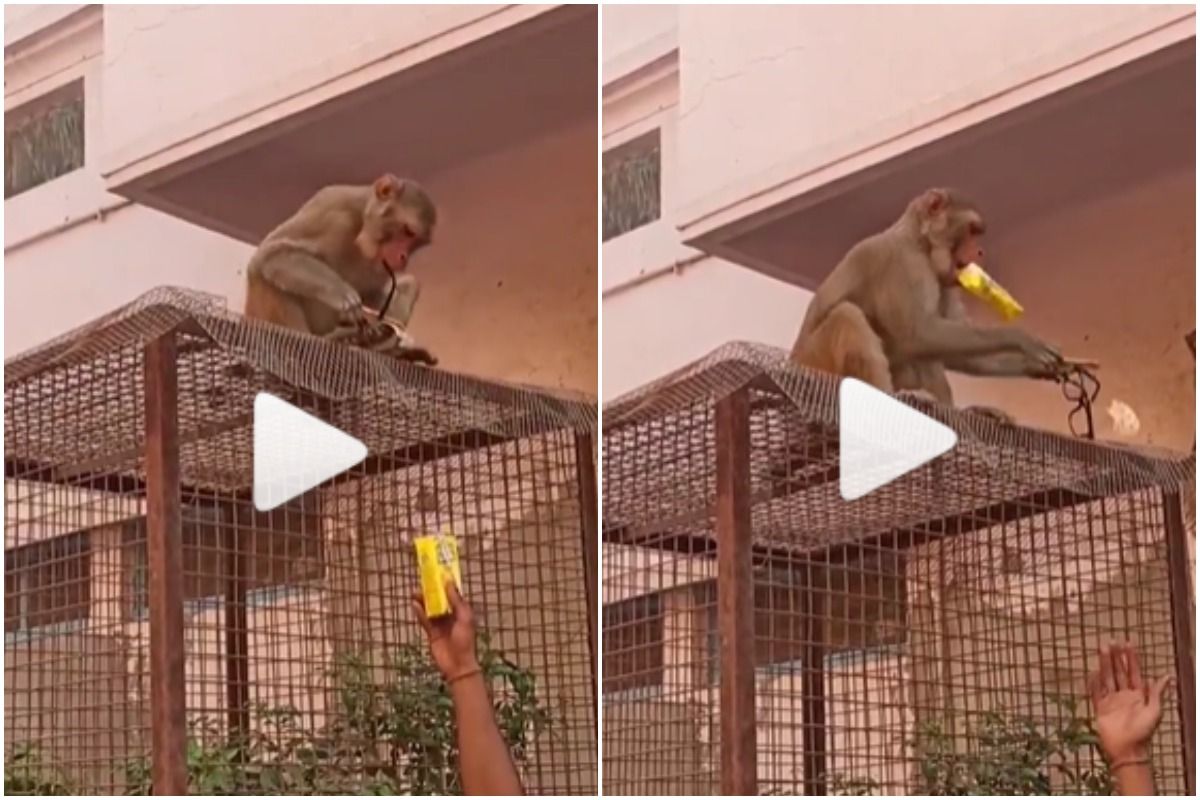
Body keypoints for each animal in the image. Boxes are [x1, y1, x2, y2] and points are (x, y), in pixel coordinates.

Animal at [244, 173, 437, 365]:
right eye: (408, 232)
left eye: (417, 242)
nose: (404, 257)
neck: (361, 222)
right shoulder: (333, 209)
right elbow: (274, 251)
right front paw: (342, 294)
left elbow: (376, 293)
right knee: (261, 270)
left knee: (410, 284)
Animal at [790, 188, 1068, 421]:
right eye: (972, 231)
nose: (981, 253)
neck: (919, 241)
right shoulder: (905, 262)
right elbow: (917, 333)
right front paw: (1020, 338)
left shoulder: (944, 280)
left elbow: (953, 351)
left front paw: (1033, 365)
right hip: (817, 360)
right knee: (847, 316)